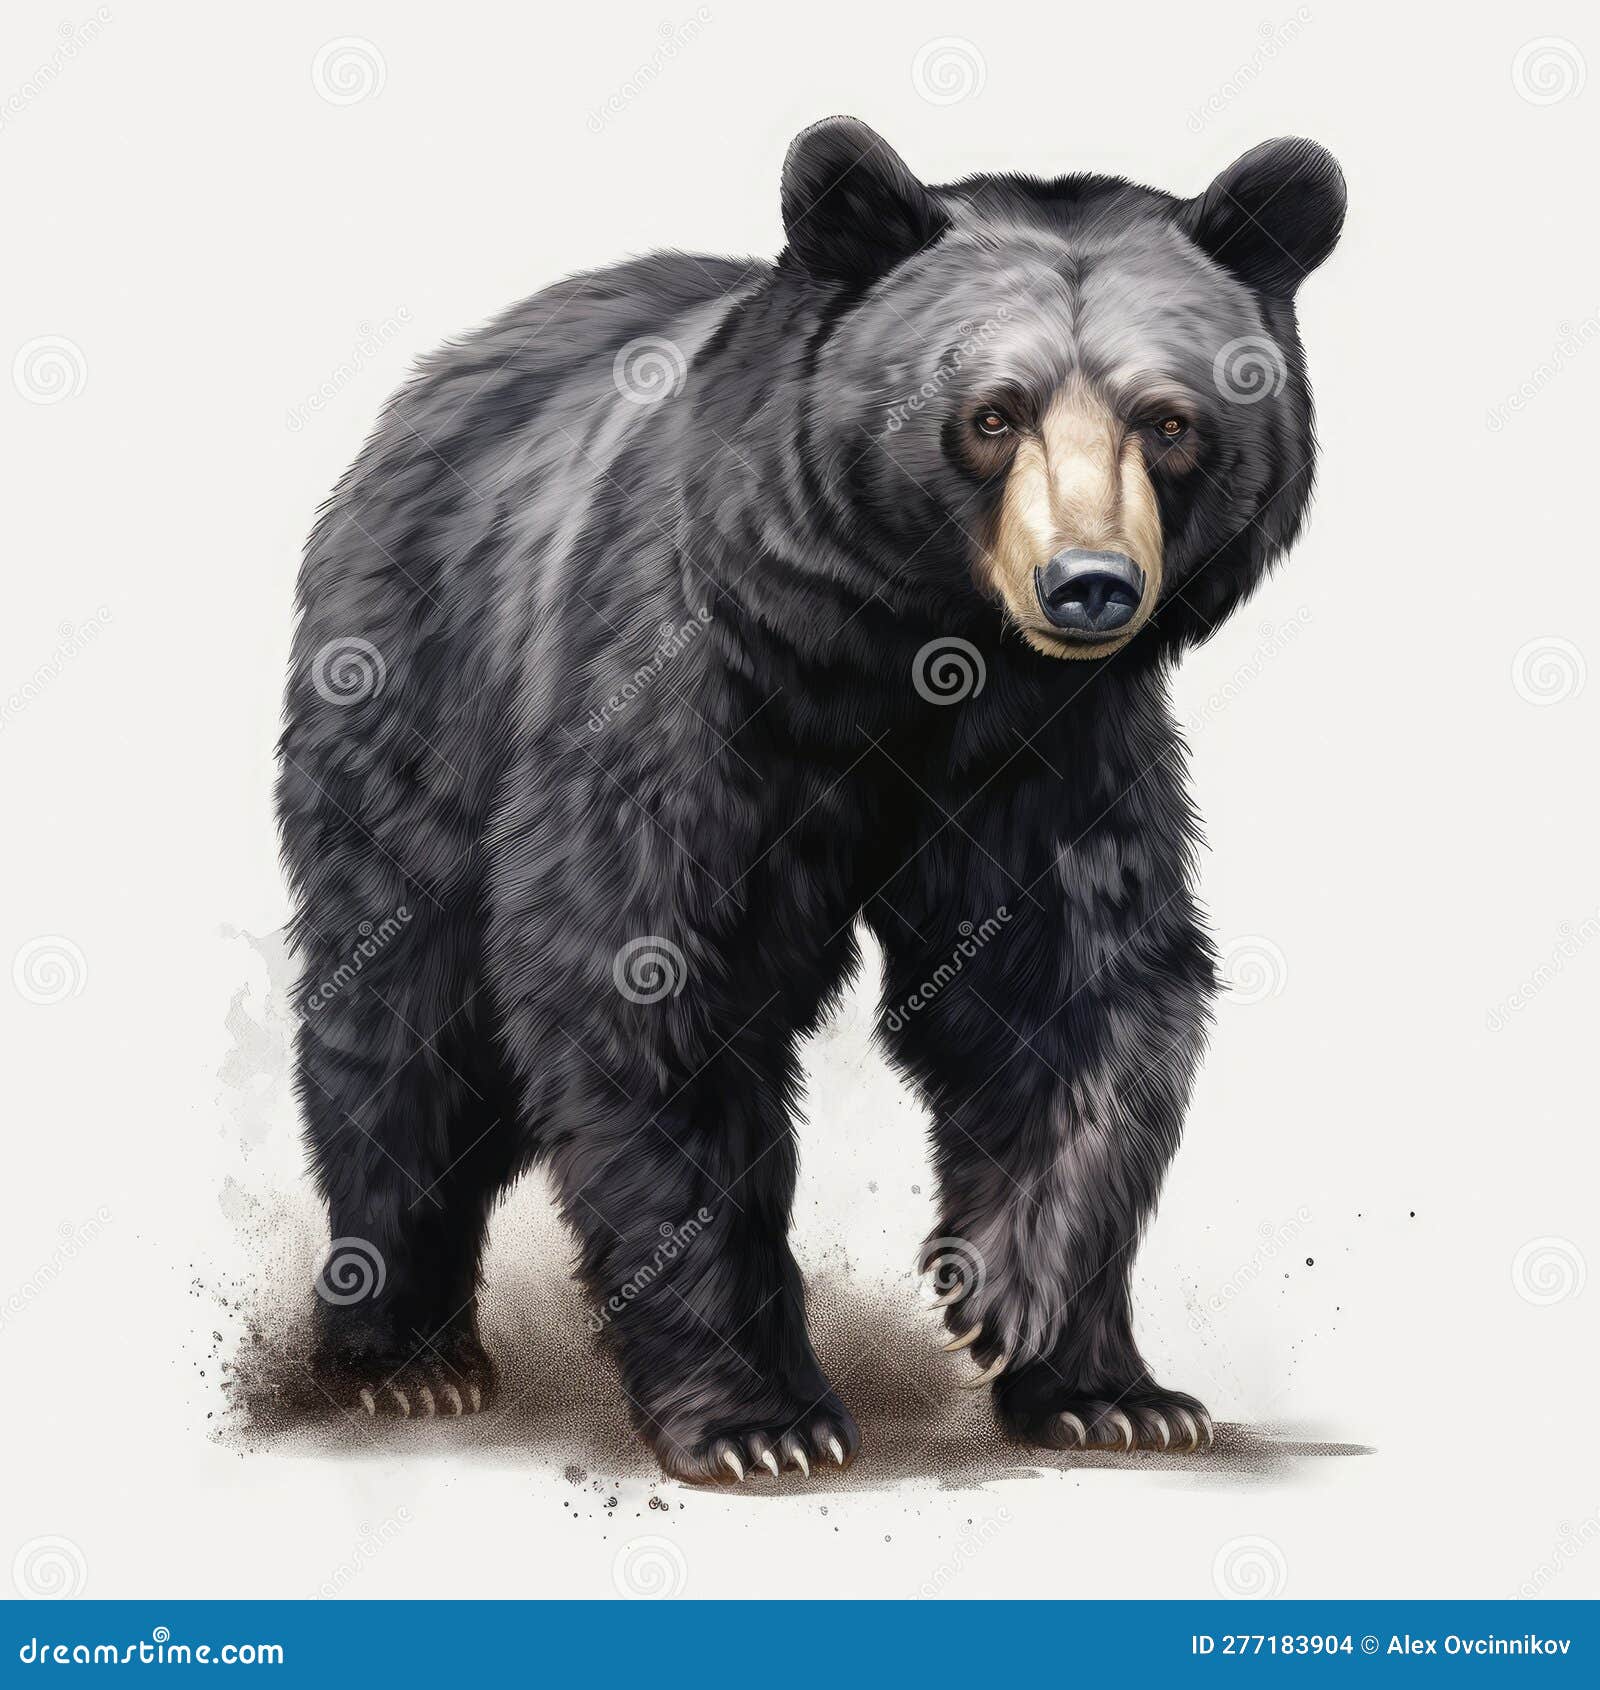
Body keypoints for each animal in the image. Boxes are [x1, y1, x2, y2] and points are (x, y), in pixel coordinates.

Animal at [277, 117, 1345, 1482]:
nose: (1089, 583)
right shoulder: (693, 690)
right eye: (990, 414)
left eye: (1166, 418)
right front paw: (760, 1420)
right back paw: (404, 1353)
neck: (912, 664)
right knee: (405, 1013)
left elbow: (1068, 985)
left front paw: (1070, 1354)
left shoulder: (1046, 753)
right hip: (420, 689)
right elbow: (647, 973)